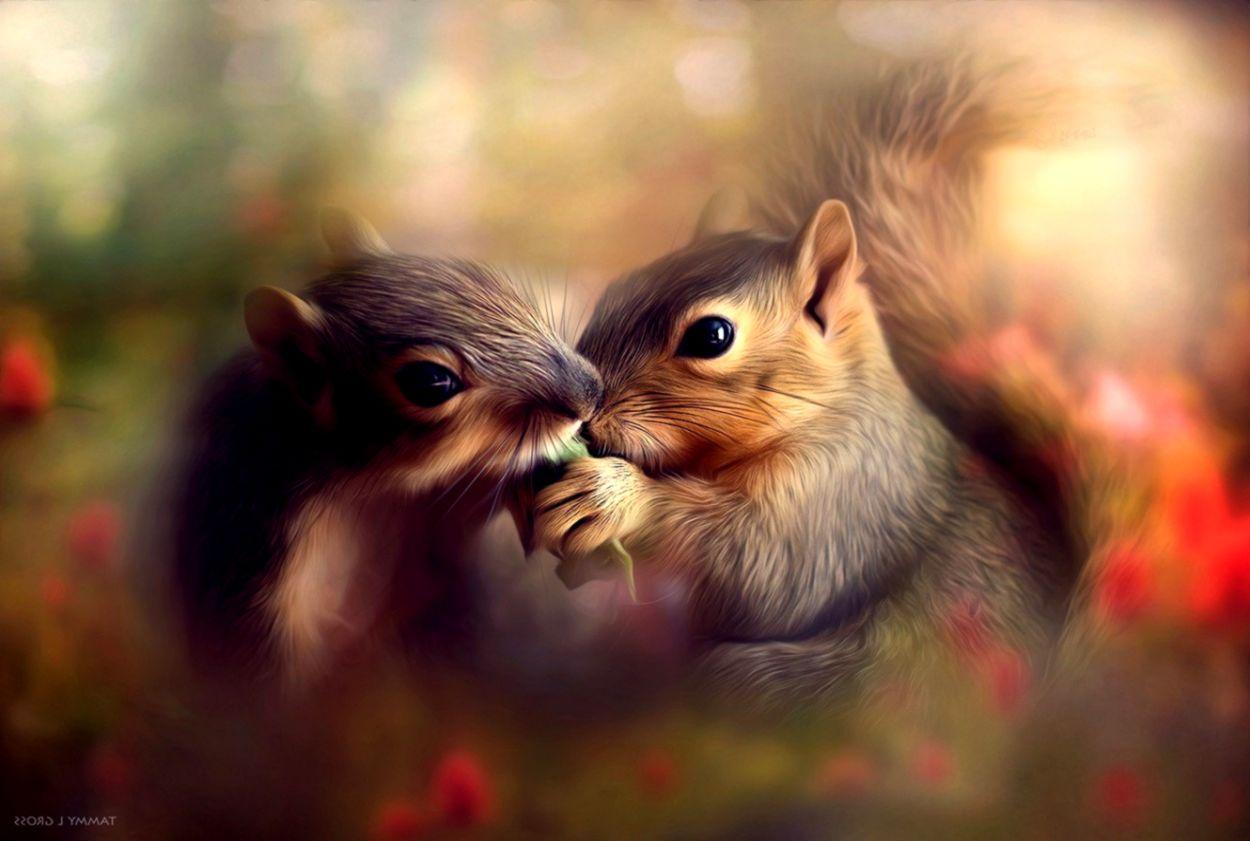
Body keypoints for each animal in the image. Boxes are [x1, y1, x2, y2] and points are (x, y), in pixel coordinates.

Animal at [165, 210, 603, 684]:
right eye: (429, 382)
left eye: (489, 279)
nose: (591, 392)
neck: (369, 490)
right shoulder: (253, 545)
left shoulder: (433, 513)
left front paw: (588, 496)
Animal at [533, 60, 1090, 707]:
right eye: (621, 286)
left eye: (712, 336)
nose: (580, 408)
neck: (824, 412)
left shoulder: (848, 496)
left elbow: (771, 573)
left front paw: (611, 497)